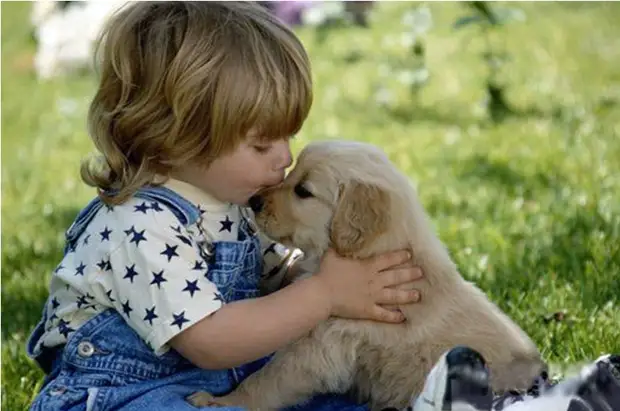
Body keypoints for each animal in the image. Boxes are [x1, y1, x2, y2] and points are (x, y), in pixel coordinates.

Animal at [188, 141, 544, 411]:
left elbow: (268, 380)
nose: (254, 201)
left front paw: (222, 401)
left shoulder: (321, 346)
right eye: (291, 172)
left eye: (303, 190)